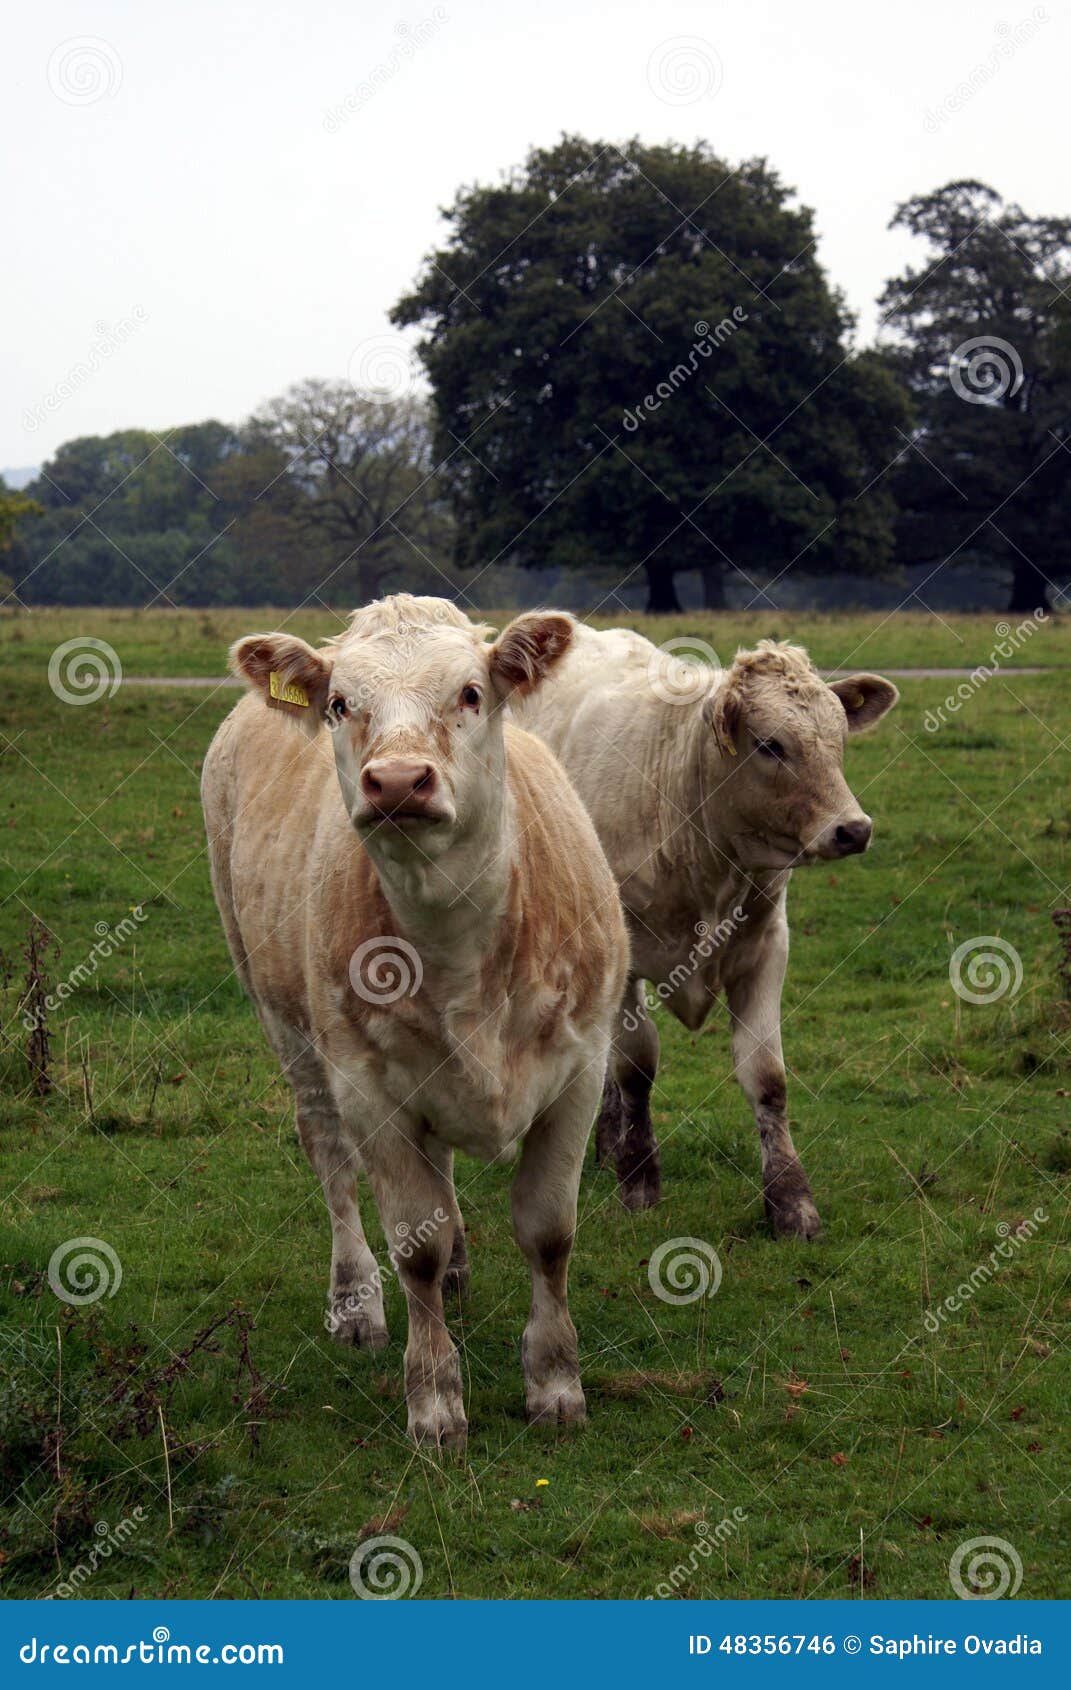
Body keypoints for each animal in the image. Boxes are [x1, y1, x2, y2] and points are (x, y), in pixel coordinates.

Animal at [201, 595, 628, 1449]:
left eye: (470, 691)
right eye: (339, 703)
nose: (398, 780)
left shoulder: (580, 1069)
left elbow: (548, 1230)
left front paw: (555, 1384)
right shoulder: (368, 1088)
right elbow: (414, 1246)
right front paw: (434, 1402)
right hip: (282, 1020)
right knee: (331, 1161)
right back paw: (355, 1303)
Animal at [513, 625, 898, 1237]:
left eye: (839, 738)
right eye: (770, 745)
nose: (853, 829)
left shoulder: (766, 946)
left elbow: (766, 1074)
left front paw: (791, 1201)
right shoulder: (625, 953)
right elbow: (637, 1065)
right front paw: (639, 1179)